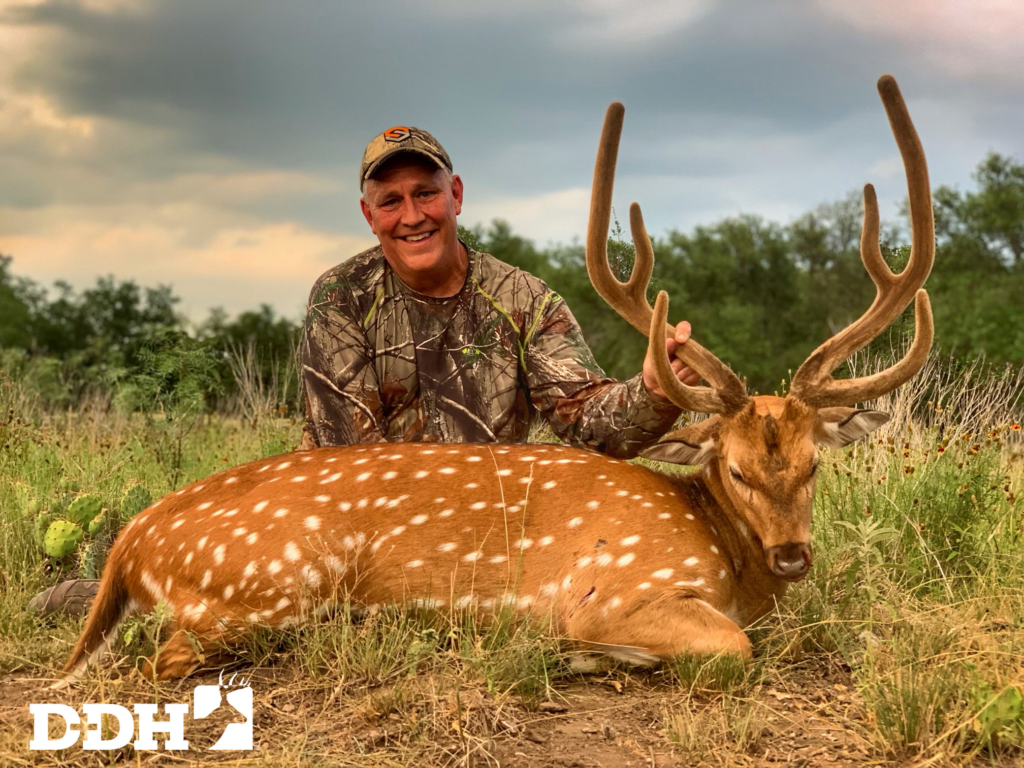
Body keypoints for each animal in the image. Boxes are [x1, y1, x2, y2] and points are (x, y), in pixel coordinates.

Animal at [56, 74, 933, 687]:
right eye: (738, 468)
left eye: (814, 464)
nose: (792, 558)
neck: (722, 551)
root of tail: (132, 537)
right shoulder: (612, 587)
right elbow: (731, 646)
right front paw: (586, 657)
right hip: (272, 582)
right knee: (163, 659)